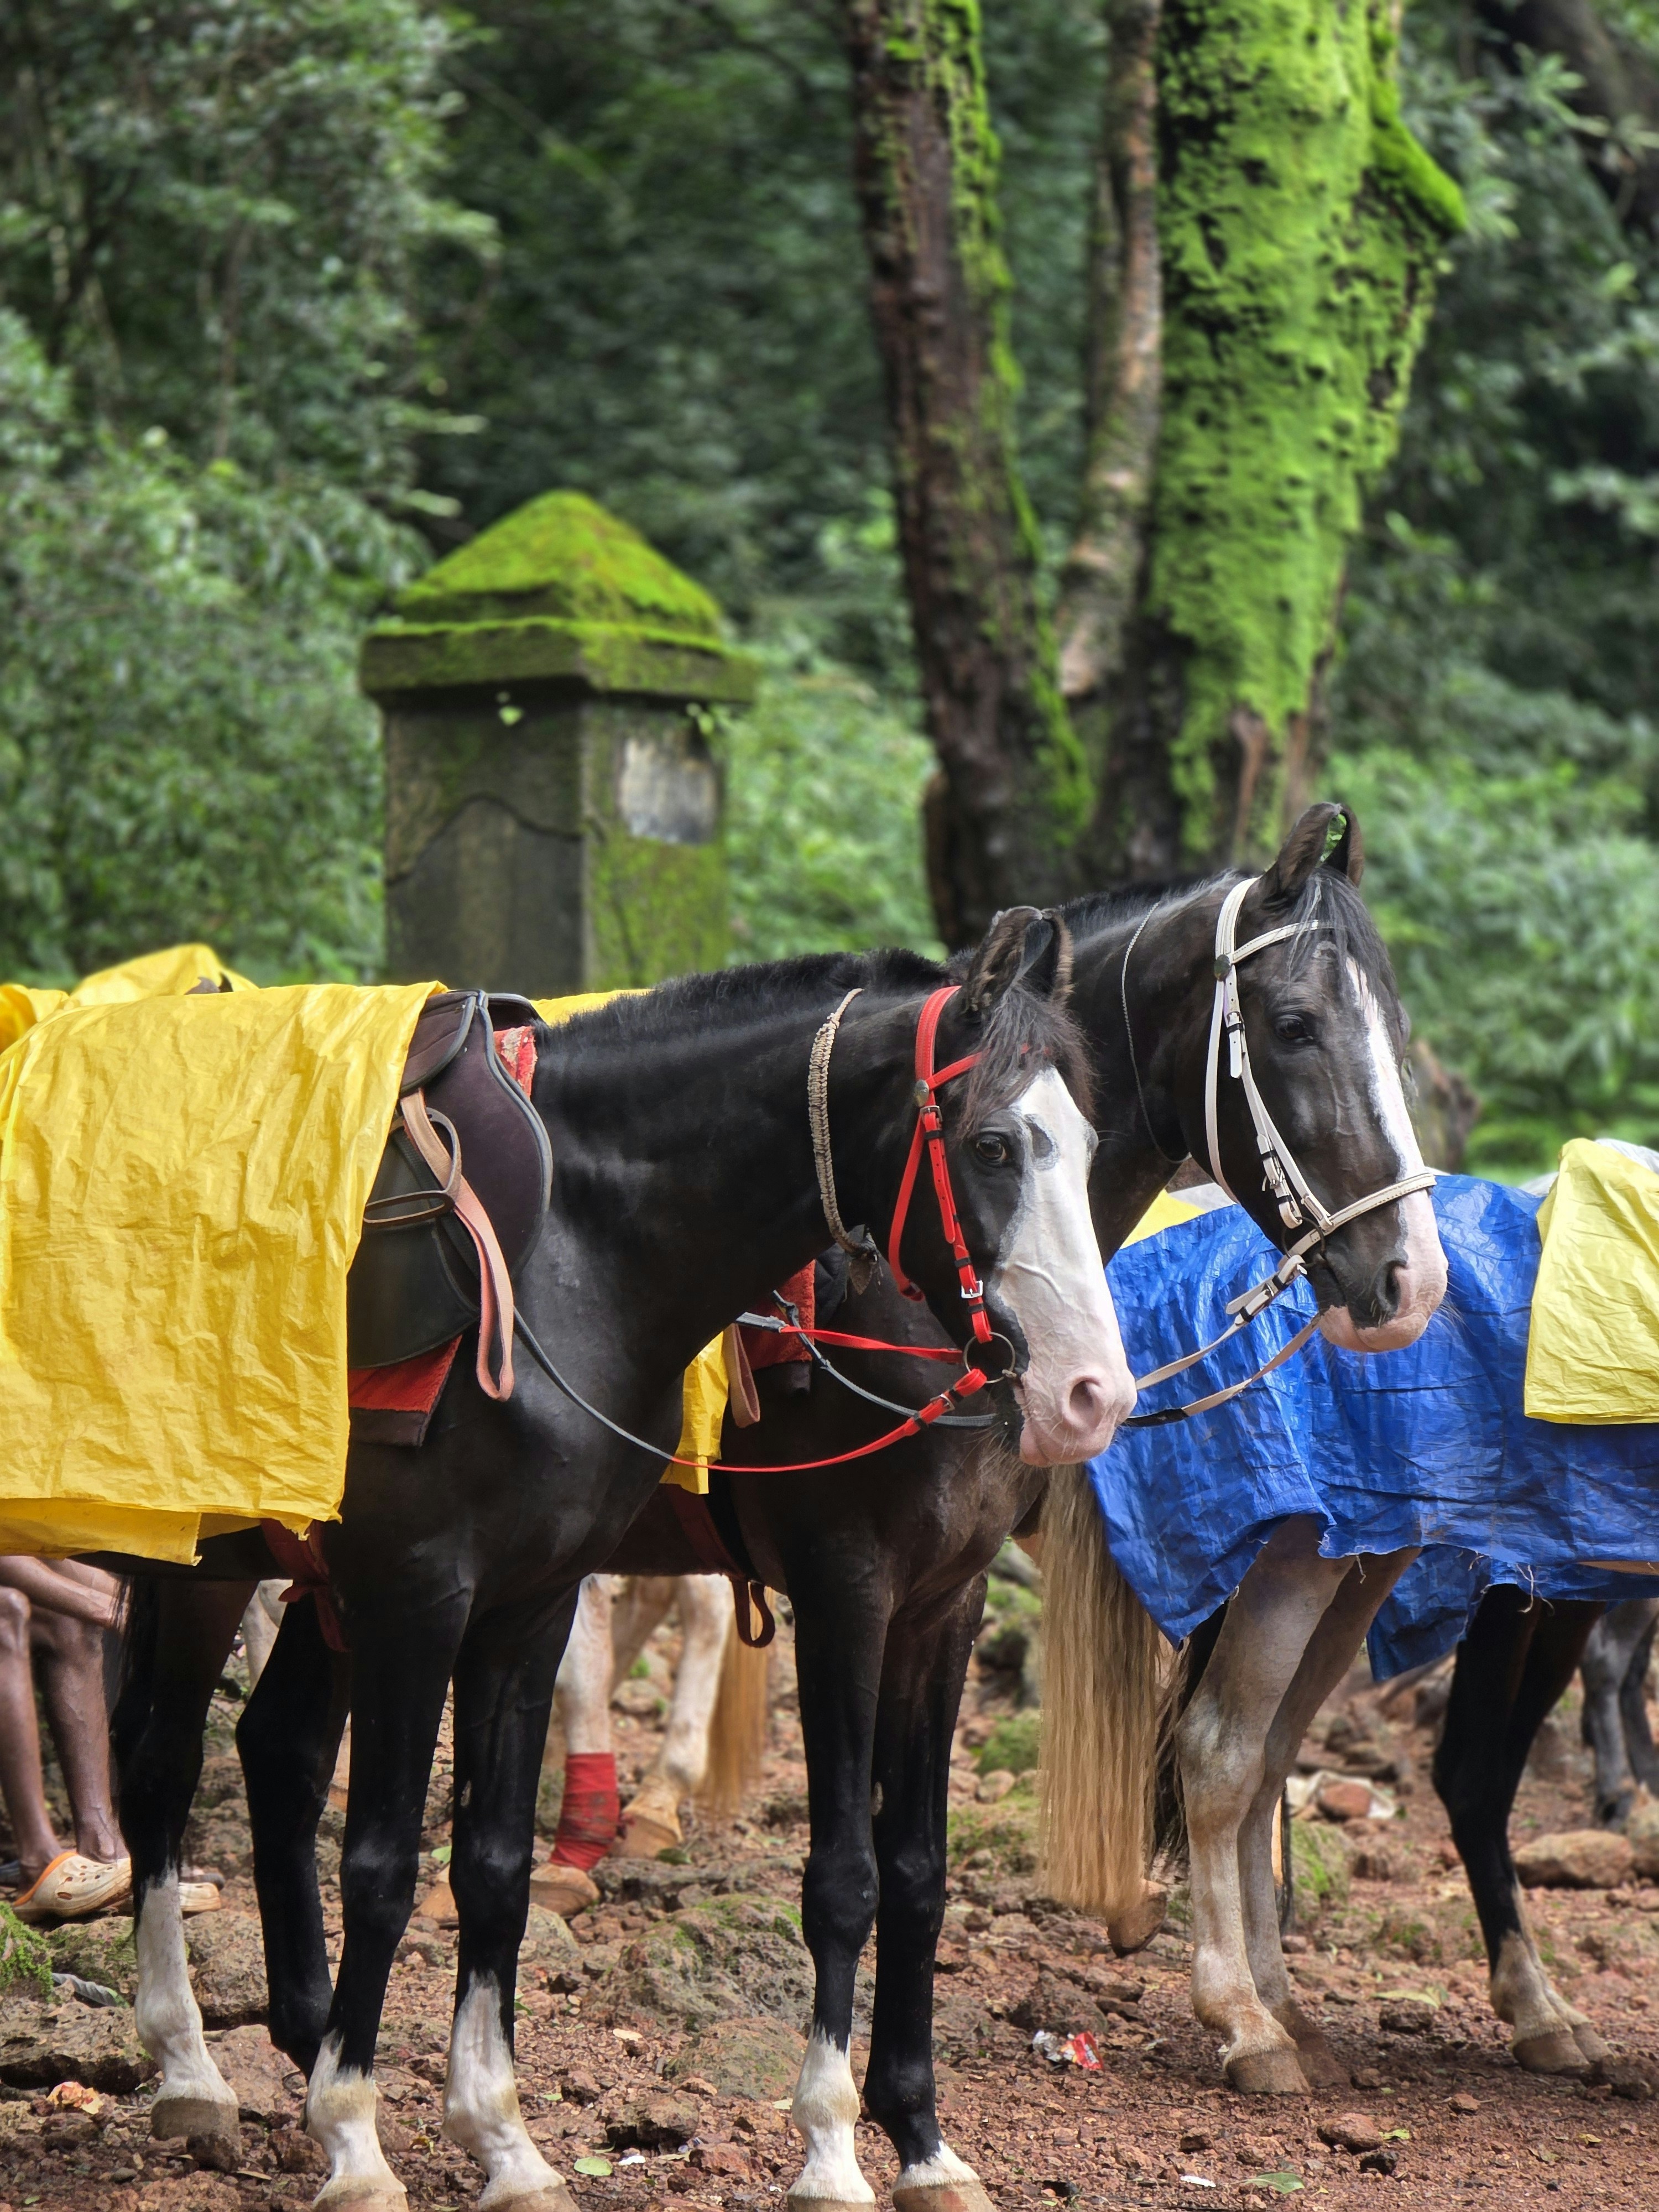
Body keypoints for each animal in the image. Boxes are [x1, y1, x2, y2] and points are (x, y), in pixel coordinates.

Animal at [108, 917, 1131, 2212]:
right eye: (994, 1144)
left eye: (1091, 1144)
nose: (1094, 1392)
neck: (574, 1252)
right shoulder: (449, 1589)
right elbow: (393, 1858)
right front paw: (359, 2142)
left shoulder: (575, 1598)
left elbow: (508, 1862)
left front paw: (504, 2142)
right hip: (208, 1561)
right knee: (162, 1764)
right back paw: (195, 2066)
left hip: (311, 1576)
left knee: (276, 1748)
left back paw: (294, 2036)